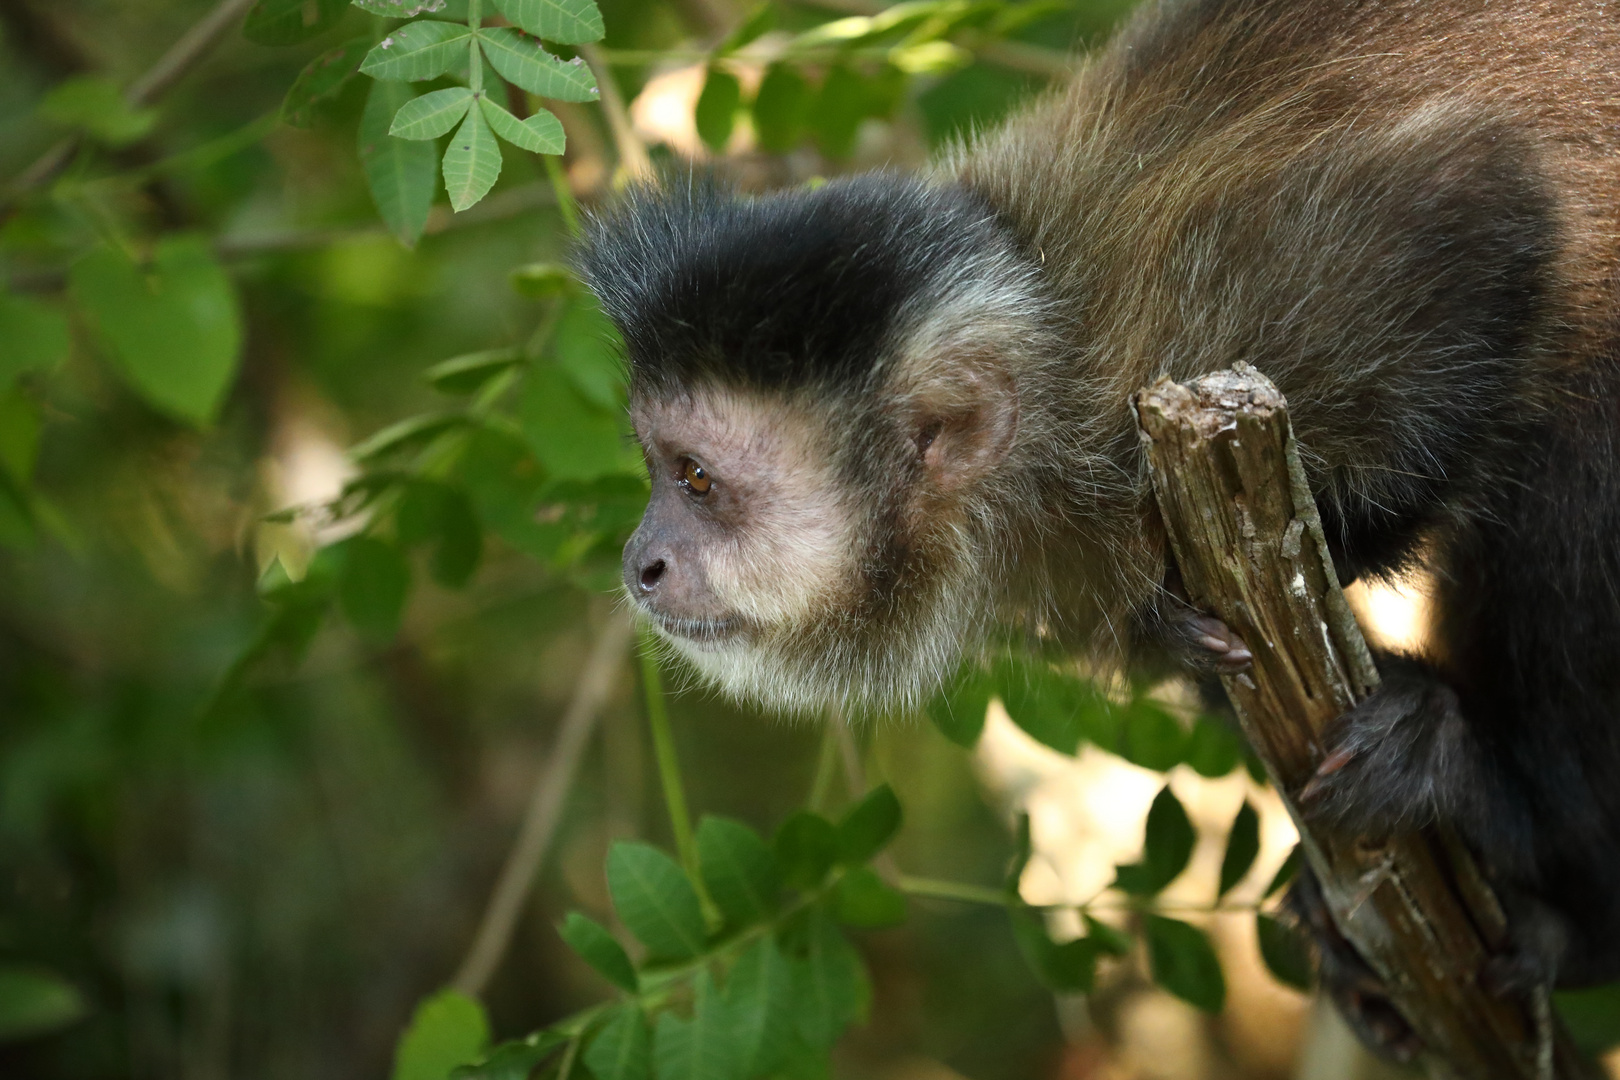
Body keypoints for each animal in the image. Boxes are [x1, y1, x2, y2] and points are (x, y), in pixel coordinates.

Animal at [578, 0, 1620, 1058]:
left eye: (696, 478)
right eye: (657, 470)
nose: (638, 562)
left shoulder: (1210, 312)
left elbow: (1488, 194)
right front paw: (1170, 632)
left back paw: (1538, 870)